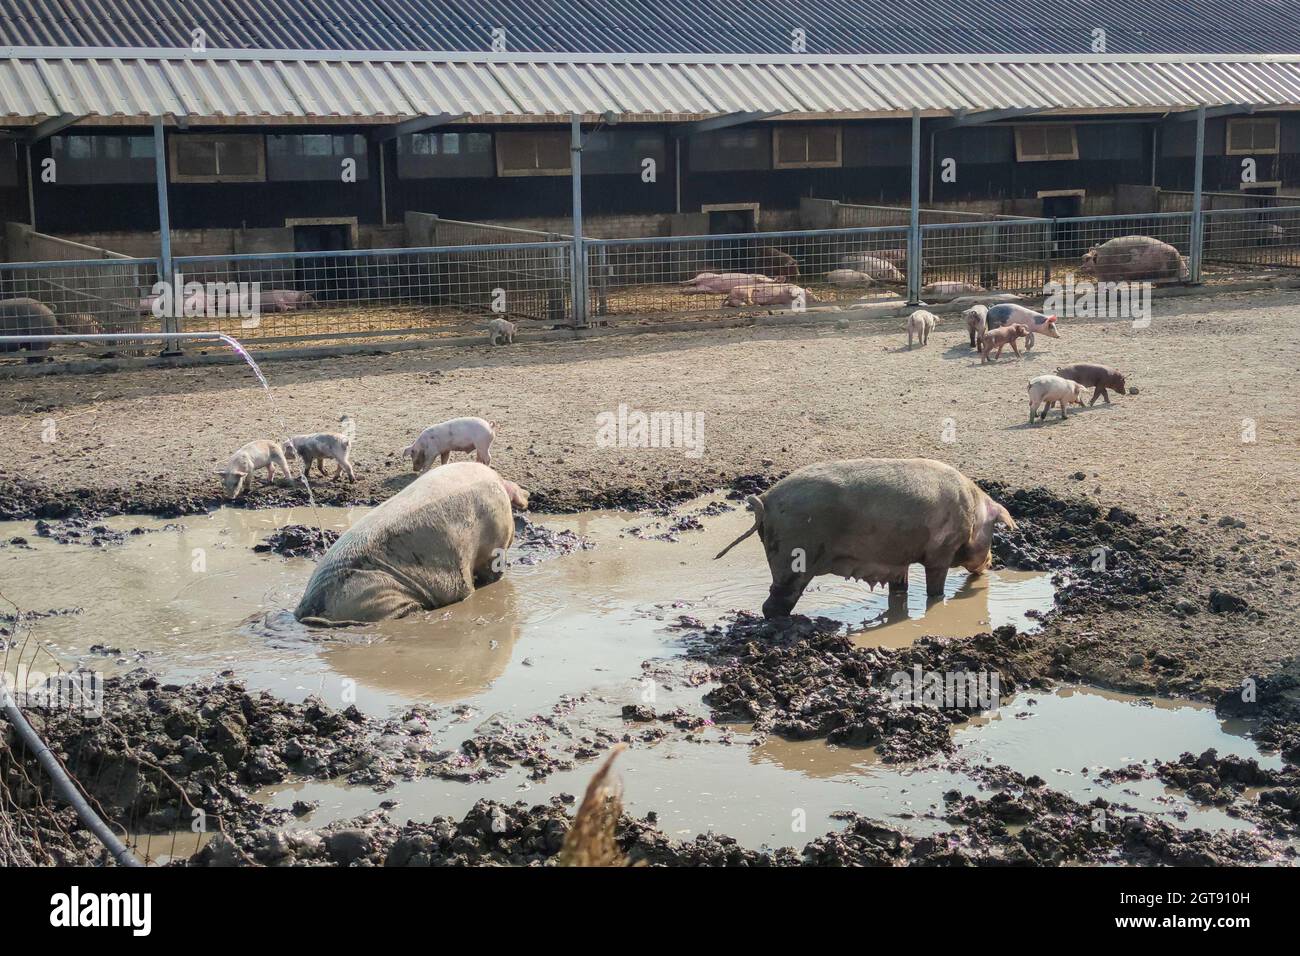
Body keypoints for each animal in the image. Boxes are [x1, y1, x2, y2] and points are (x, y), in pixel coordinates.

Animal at [714, 457, 1018, 616]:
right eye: (993, 533)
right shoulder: (939, 554)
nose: (989, 563)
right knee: (774, 604)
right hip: (793, 557)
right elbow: (935, 587)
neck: (973, 511)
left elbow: (900, 587)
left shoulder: (897, 560)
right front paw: (936, 601)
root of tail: (765, 500)